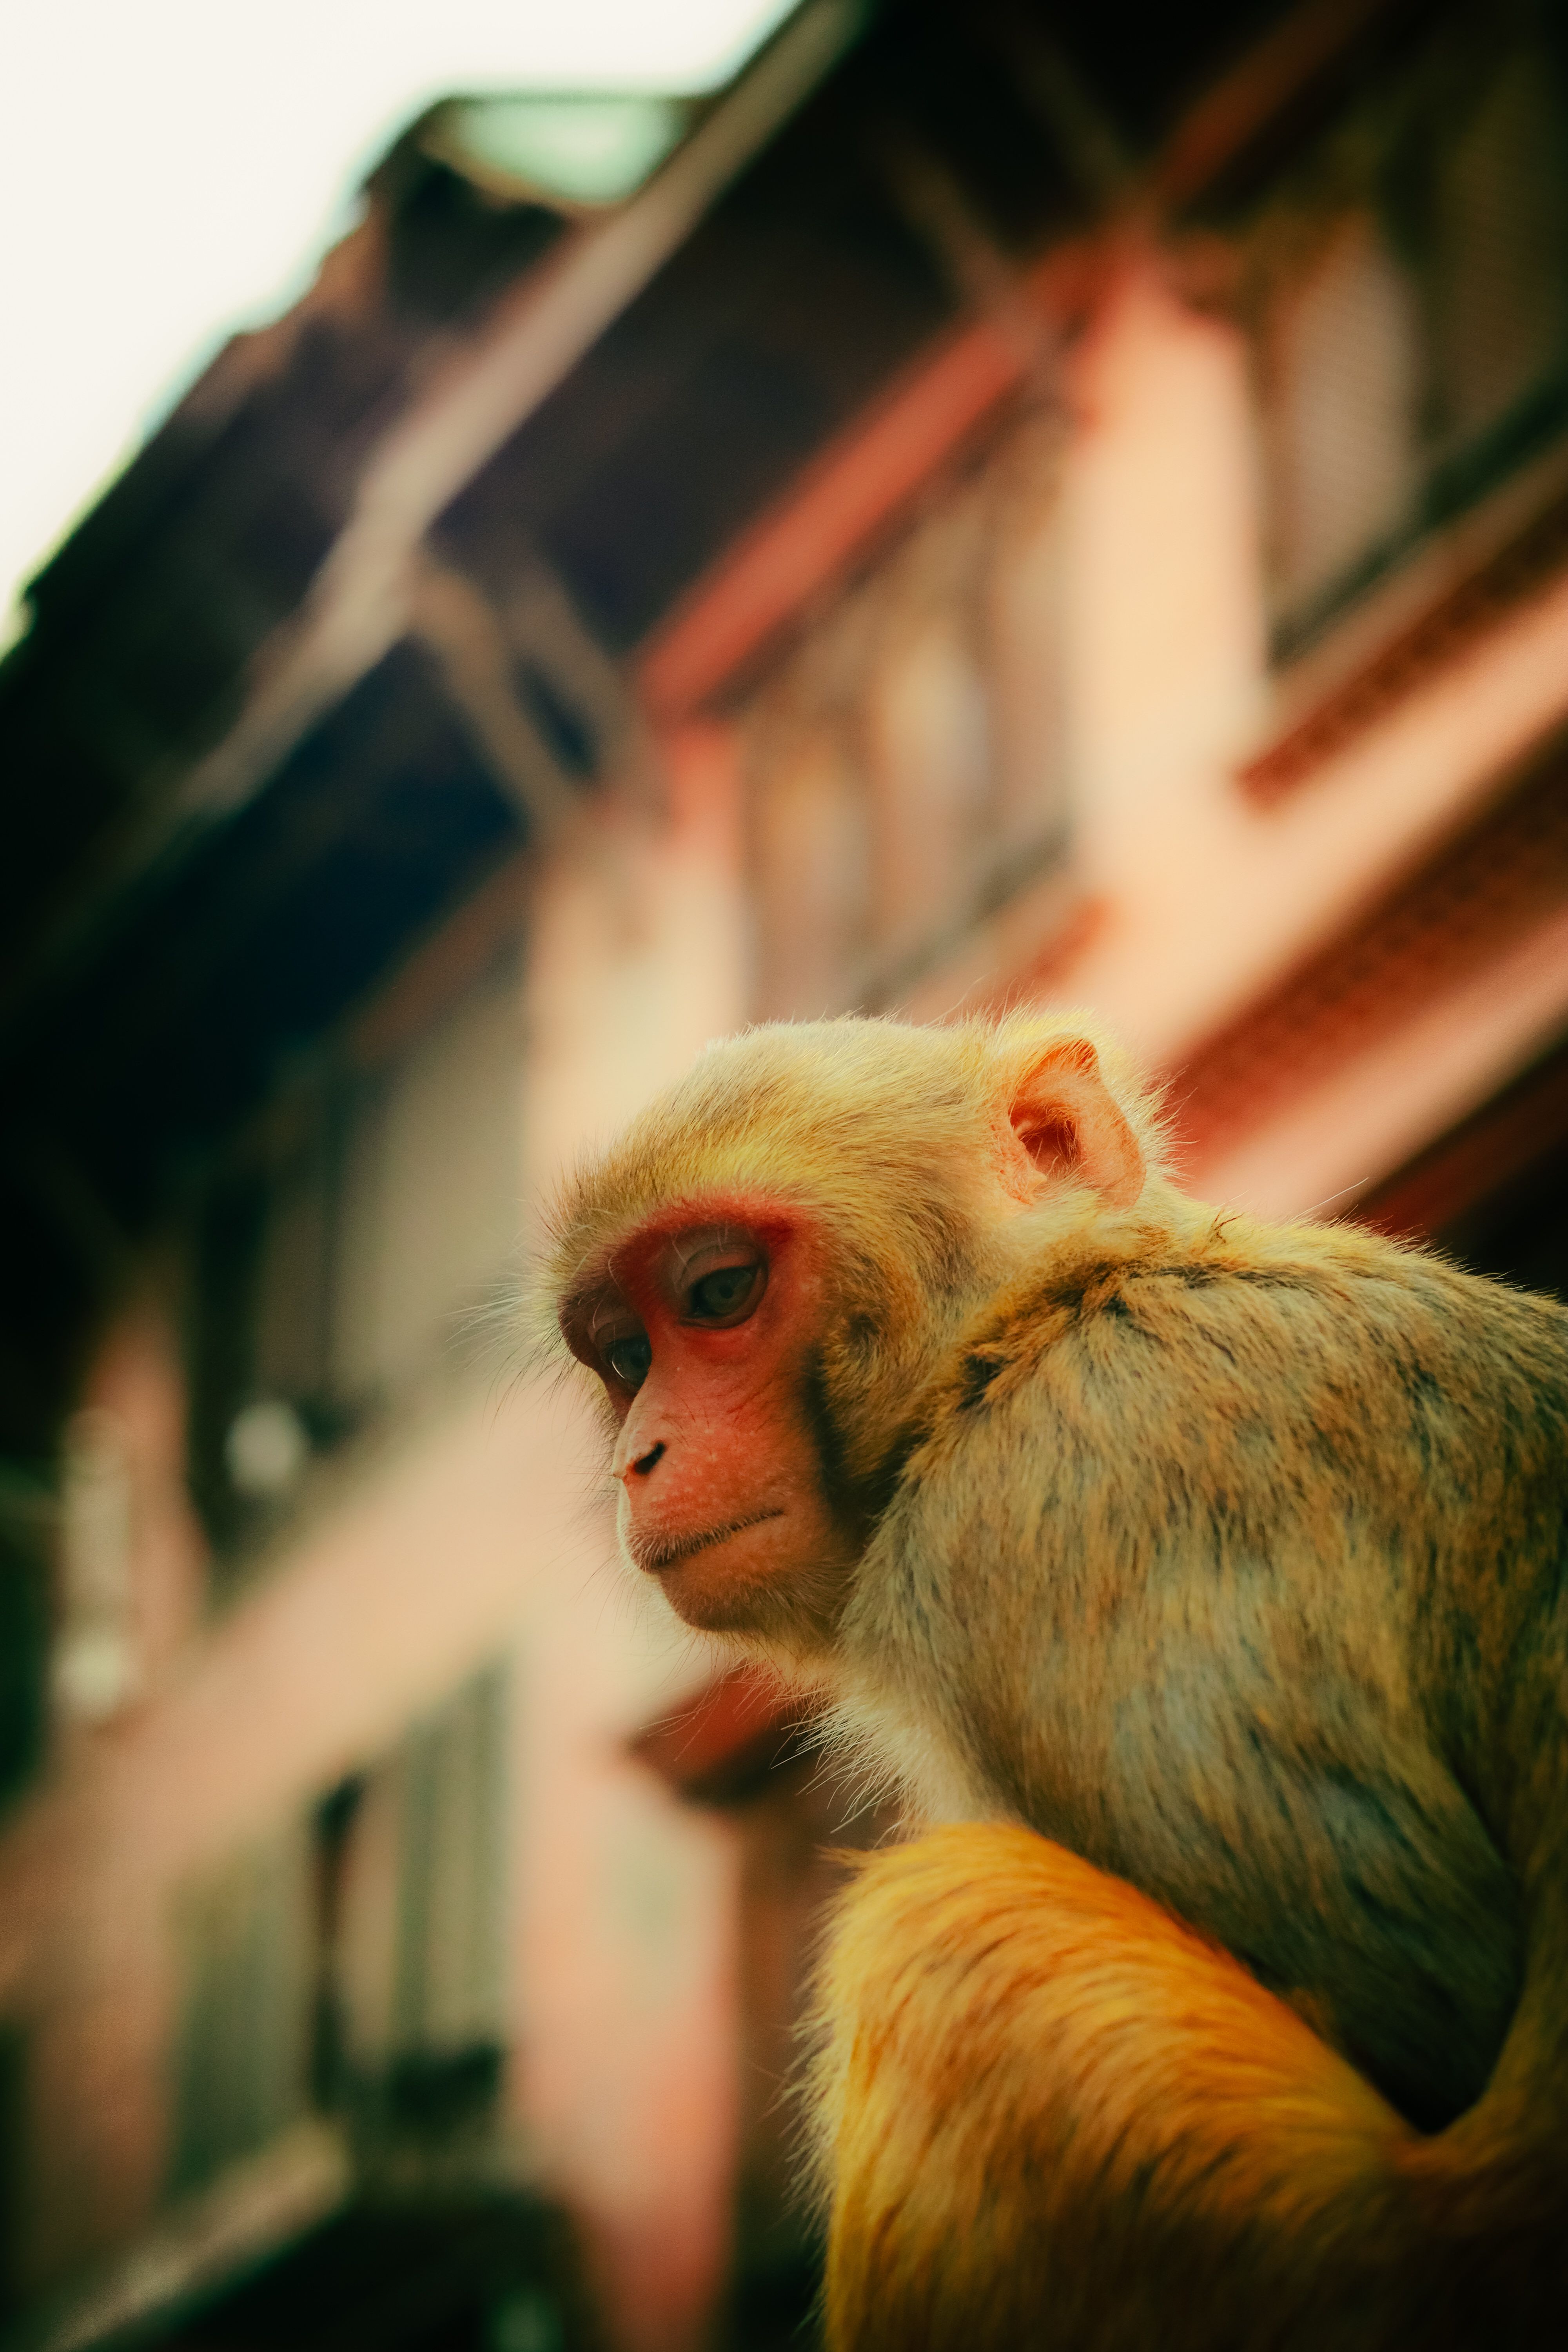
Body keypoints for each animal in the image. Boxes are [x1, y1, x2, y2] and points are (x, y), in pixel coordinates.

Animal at [543, 1012, 1568, 2349]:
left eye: (718, 1293)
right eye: (626, 1354)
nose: (639, 1458)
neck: (1034, 1324)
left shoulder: (1059, 1493)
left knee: (949, 1936)